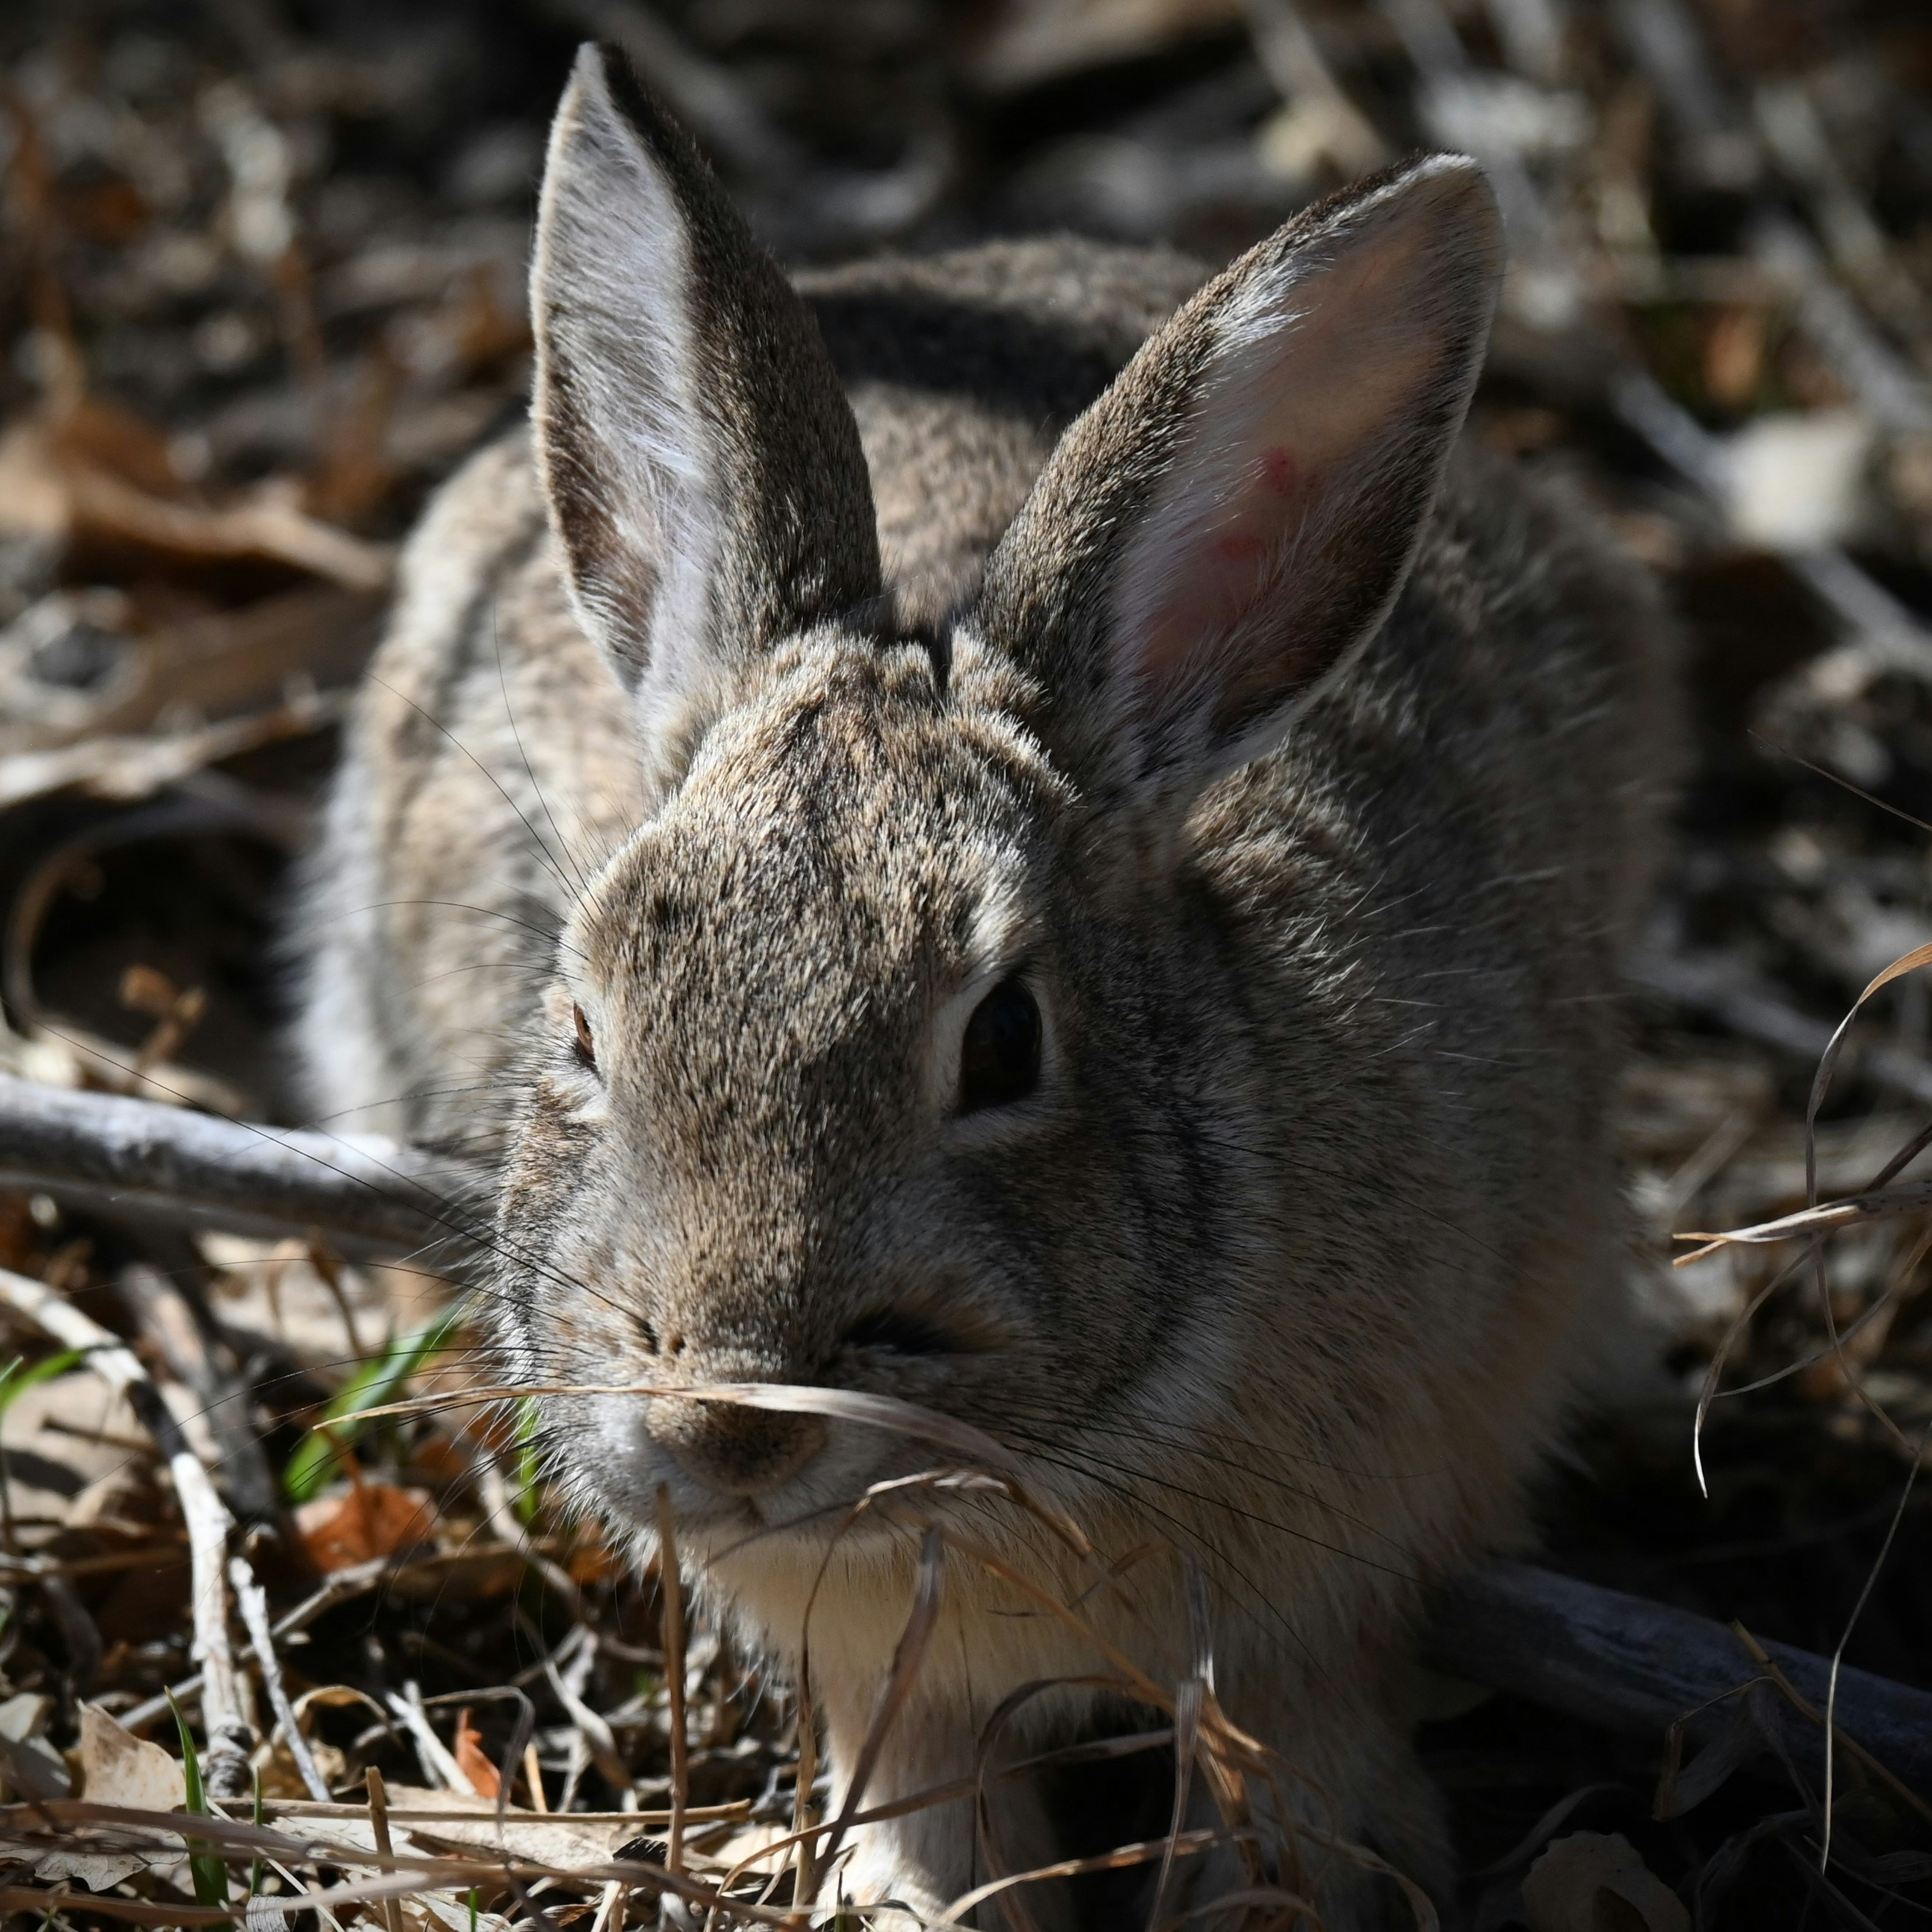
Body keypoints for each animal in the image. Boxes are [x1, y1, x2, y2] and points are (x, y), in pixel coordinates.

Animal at [291, 40, 1679, 1931]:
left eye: (1004, 1040)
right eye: (579, 1026)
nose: (719, 1430)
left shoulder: (1321, 1608)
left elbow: (1293, 1765)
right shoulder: (891, 1672)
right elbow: (933, 1793)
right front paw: (922, 1896)